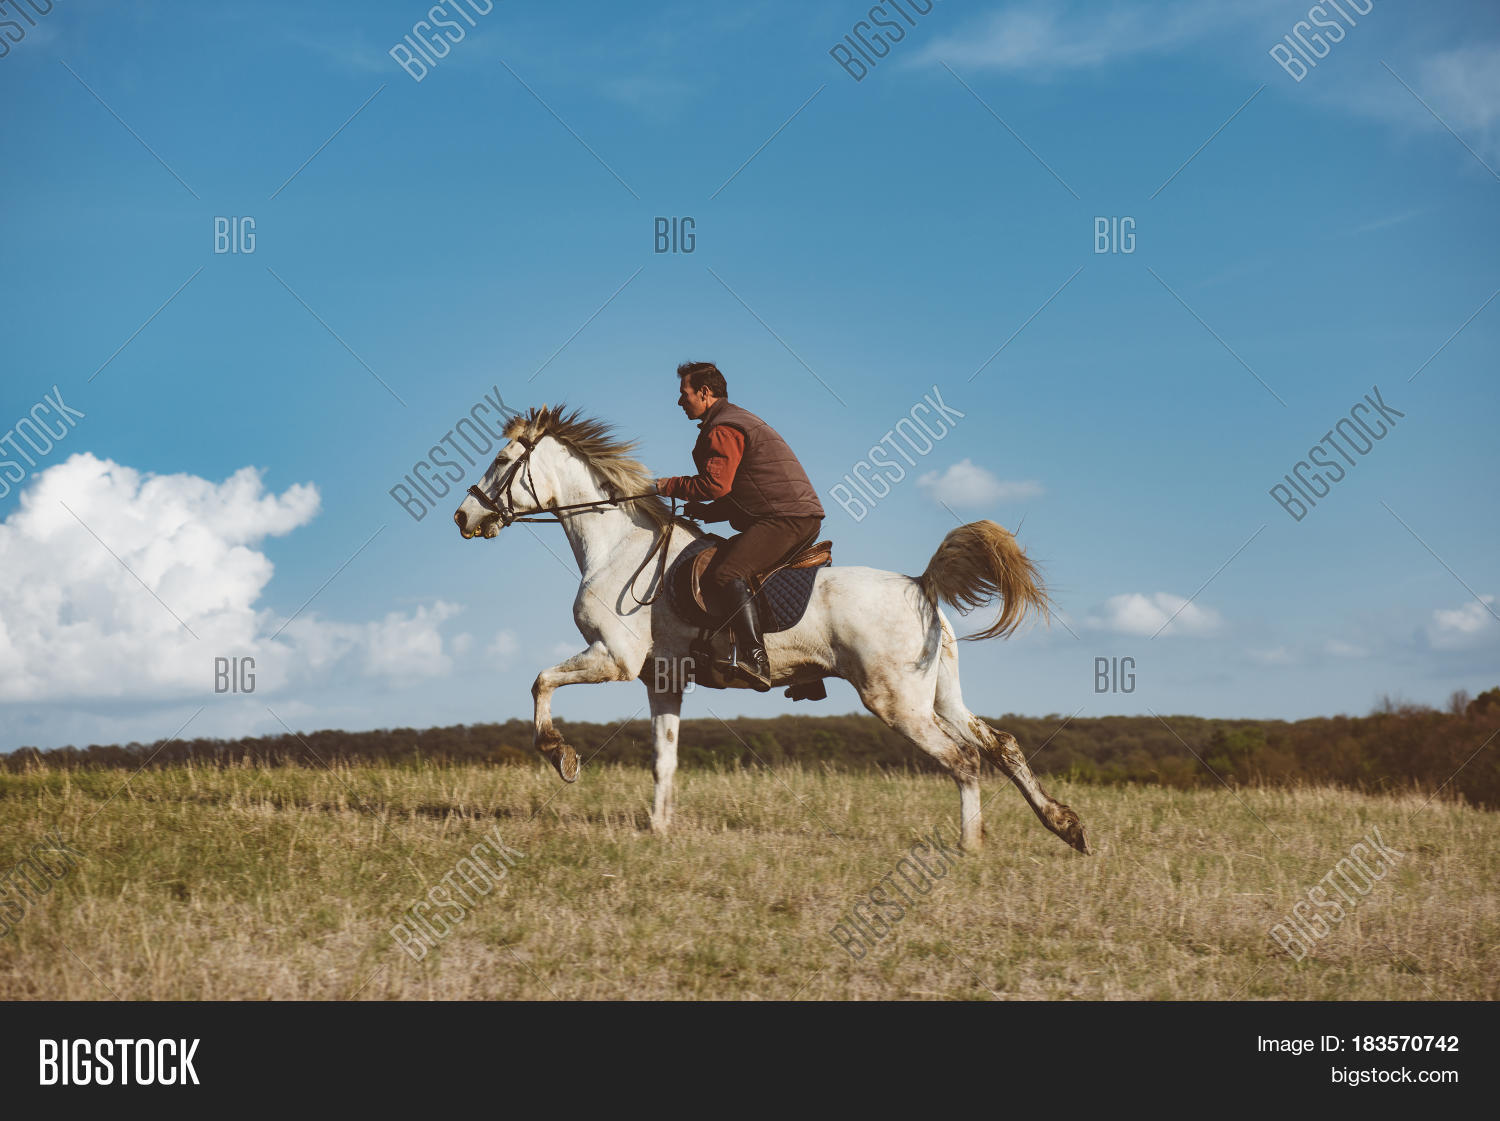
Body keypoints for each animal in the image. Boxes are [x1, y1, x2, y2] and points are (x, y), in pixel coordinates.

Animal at [453, 405, 1089, 855]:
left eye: (503, 459)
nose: (464, 515)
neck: (619, 547)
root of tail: (921, 584)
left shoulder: (613, 657)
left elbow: (541, 681)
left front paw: (560, 756)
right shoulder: (662, 678)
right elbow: (664, 758)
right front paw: (658, 829)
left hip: (896, 702)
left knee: (963, 760)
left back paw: (970, 846)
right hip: (937, 694)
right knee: (998, 743)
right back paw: (1065, 825)